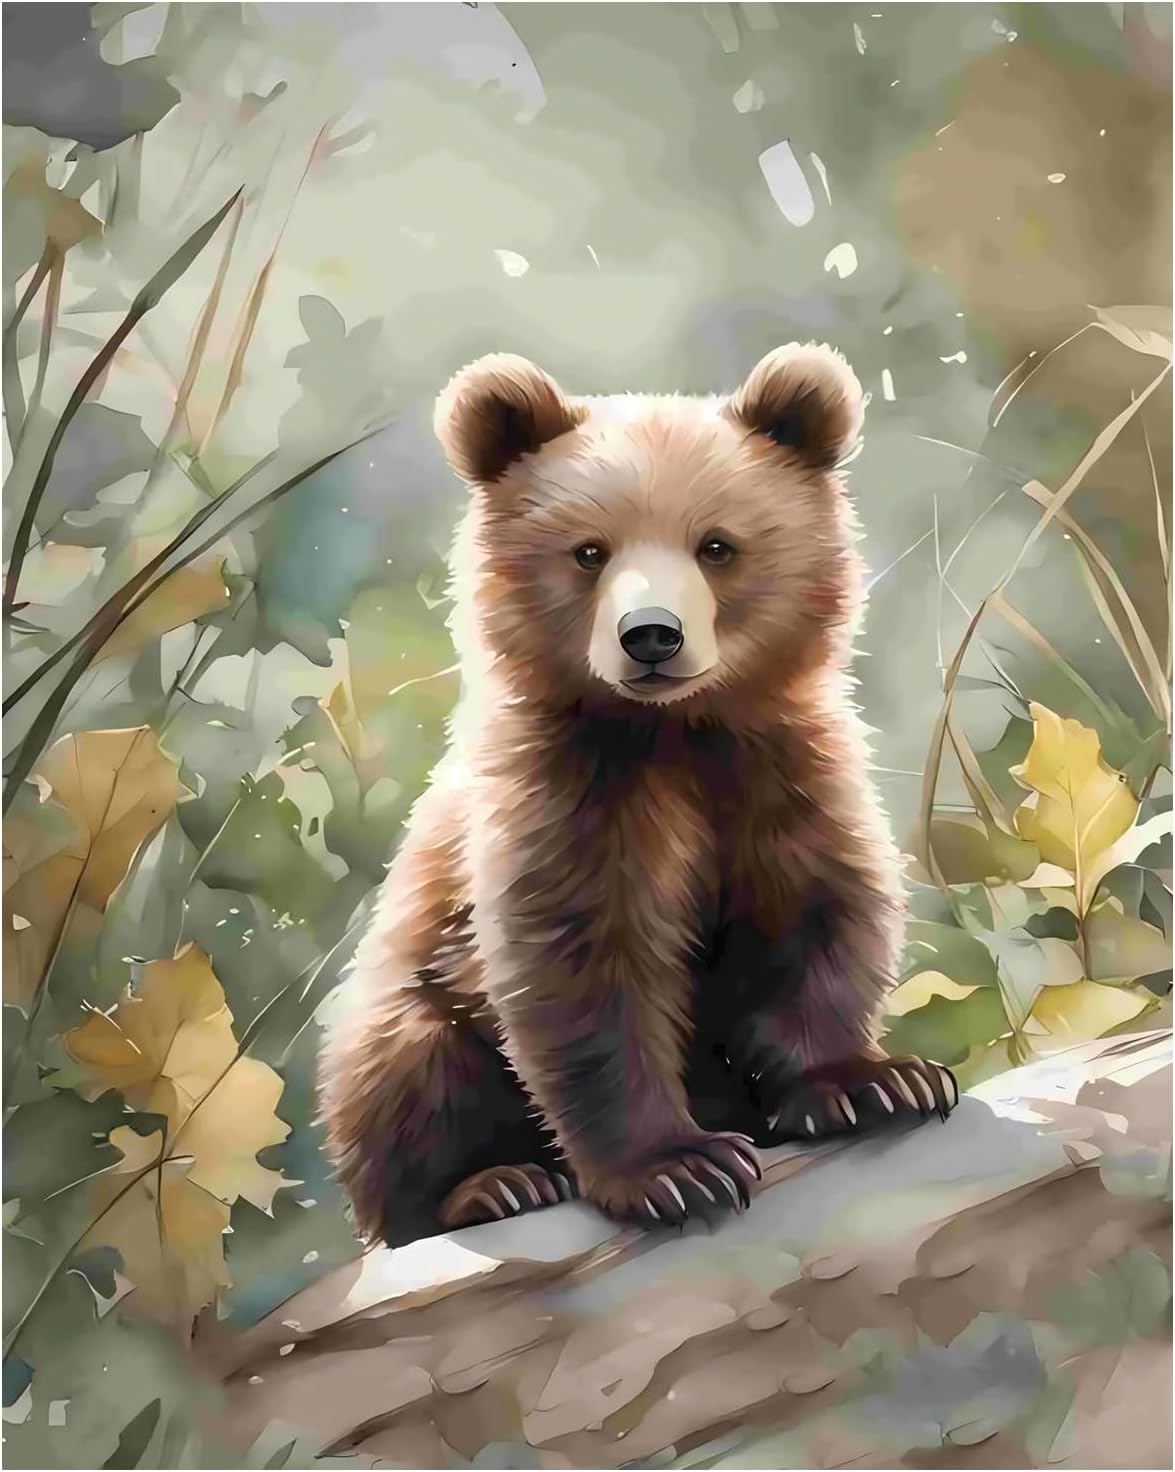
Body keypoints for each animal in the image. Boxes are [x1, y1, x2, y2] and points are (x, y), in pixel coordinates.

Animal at [318, 343, 958, 1249]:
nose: (650, 634)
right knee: (408, 1072)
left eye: (716, 545)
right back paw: (491, 1185)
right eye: (589, 552)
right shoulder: (569, 796)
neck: (670, 731)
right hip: (404, 1003)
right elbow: (586, 972)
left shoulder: (780, 770)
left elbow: (817, 910)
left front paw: (874, 1082)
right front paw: (676, 1169)